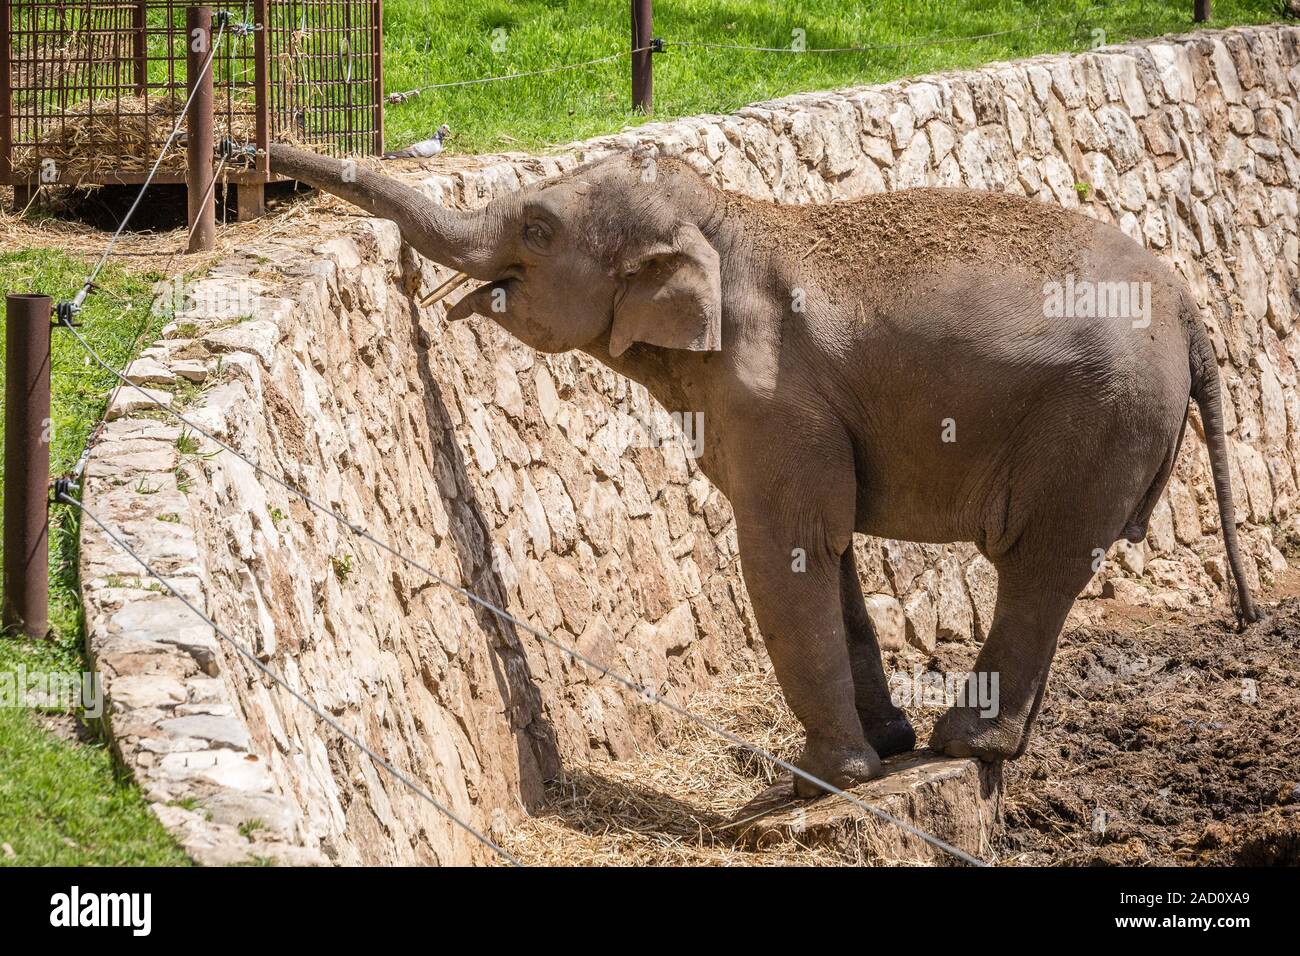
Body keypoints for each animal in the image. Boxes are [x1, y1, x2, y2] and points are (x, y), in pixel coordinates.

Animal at [269, 143, 1261, 797]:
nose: (264, 153)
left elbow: (784, 550)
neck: (726, 220)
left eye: (538, 229)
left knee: (1038, 562)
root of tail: (1190, 308)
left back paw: (968, 742)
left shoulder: (773, 396)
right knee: (1058, 570)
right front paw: (882, 750)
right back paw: (987, 747)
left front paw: (815, 781)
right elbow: (833, 550)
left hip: (1098, 420)